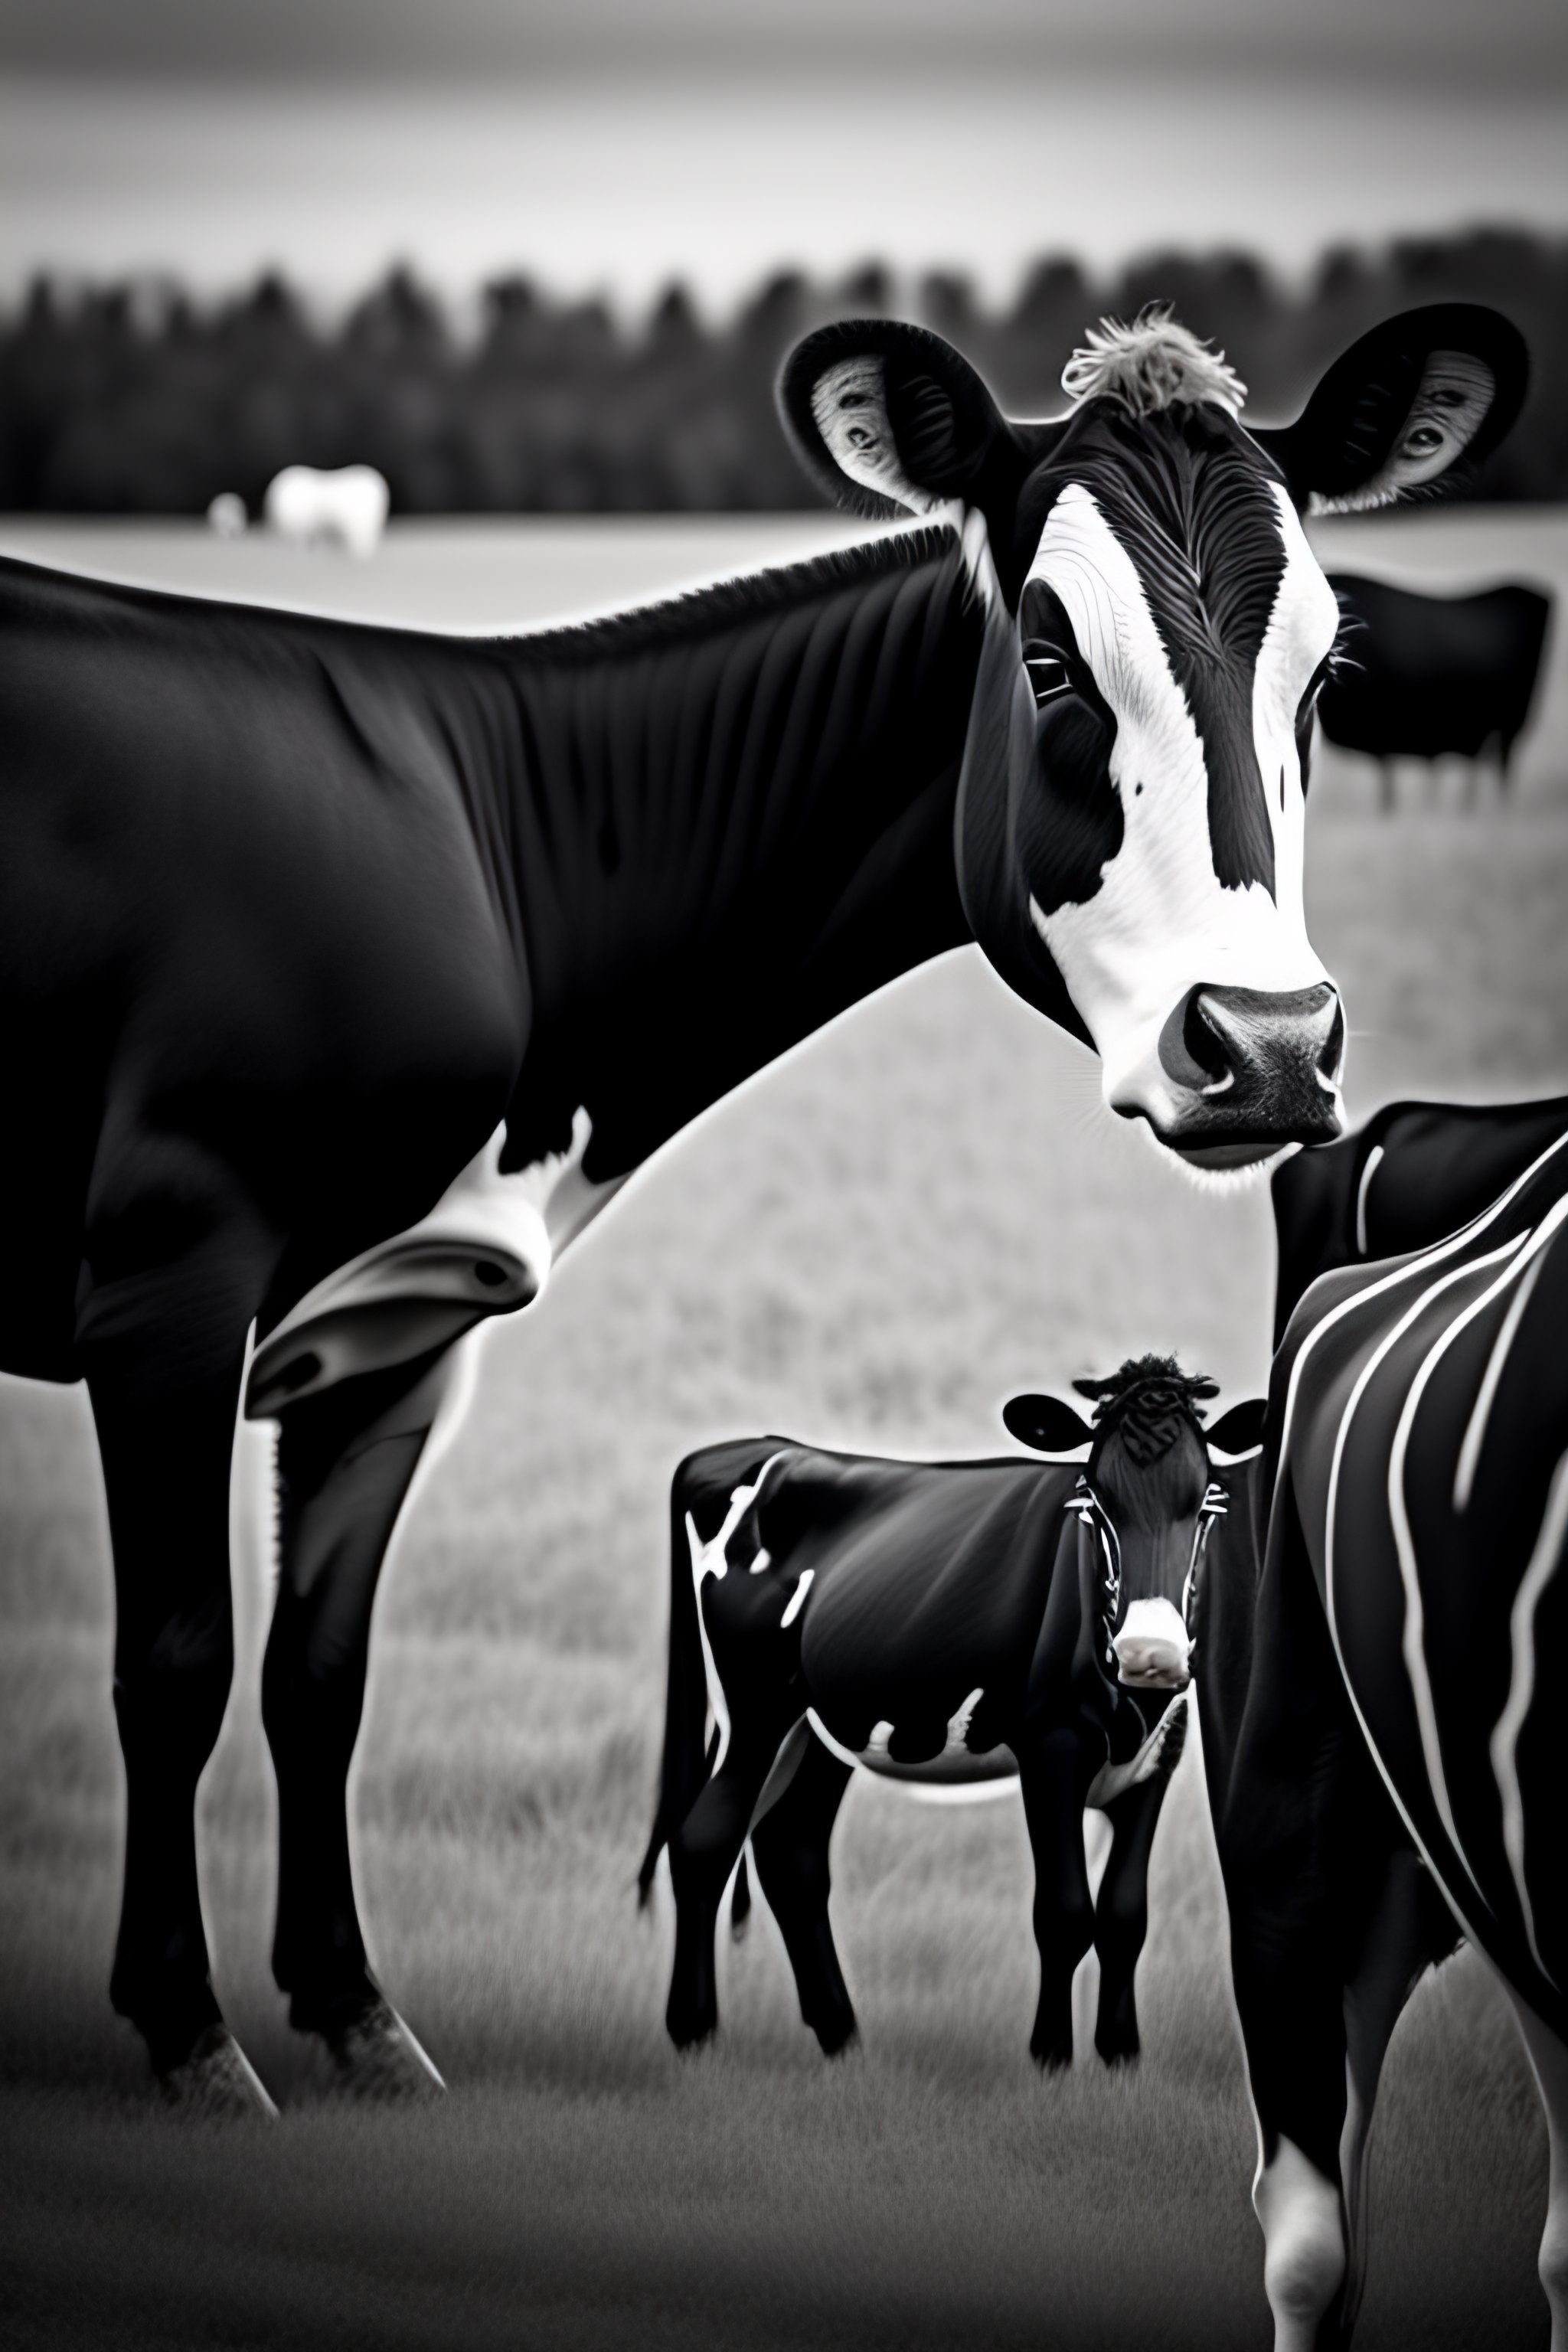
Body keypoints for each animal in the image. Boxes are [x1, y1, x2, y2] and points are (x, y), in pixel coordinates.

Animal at [638, 1360, 1265, 2067]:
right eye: (1093, 1502)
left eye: (1208, 1504)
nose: (1148, 1652)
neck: (1133, 1704)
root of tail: (750, 1448)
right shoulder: (1052, 1745)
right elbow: (1065, 1912)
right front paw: (1052, 2057)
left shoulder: (1160, 1755)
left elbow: (1126, 1915)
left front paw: (1121, 2058)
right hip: (756, 1708)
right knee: (705, 1838)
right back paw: (694, 2031)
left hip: (821, 1728)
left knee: (790, 1850)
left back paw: (842, 2037)